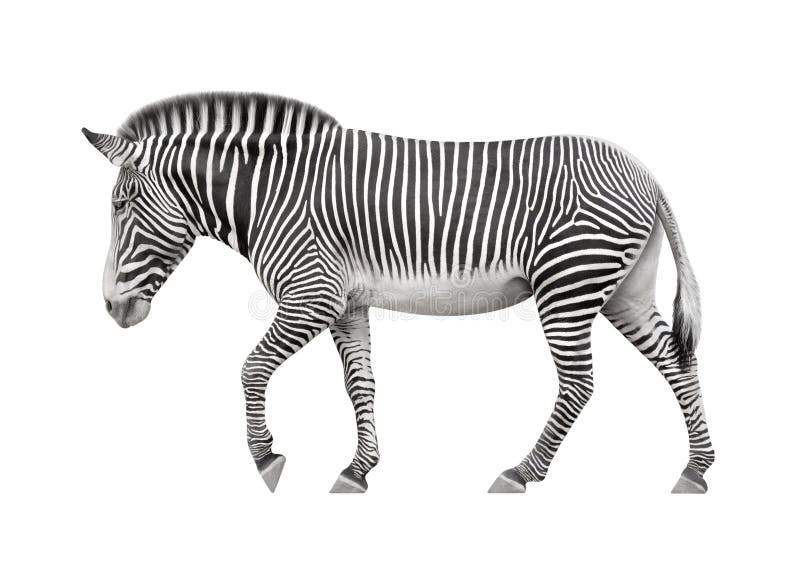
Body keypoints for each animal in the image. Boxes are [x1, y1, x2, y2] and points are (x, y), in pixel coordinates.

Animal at [83, 92, 714, 494]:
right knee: (676, 360)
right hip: (623, 291)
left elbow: (251, 368)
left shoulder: (311, 294)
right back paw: (696, 469)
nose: (112, 307)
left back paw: (521, 473)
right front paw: (358, 469)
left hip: (568, 285)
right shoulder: (345, 302)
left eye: (119, 204)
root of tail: (645, 173)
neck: (273, 196)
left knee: (580, 383)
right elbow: (359, 383)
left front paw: (266, 458)